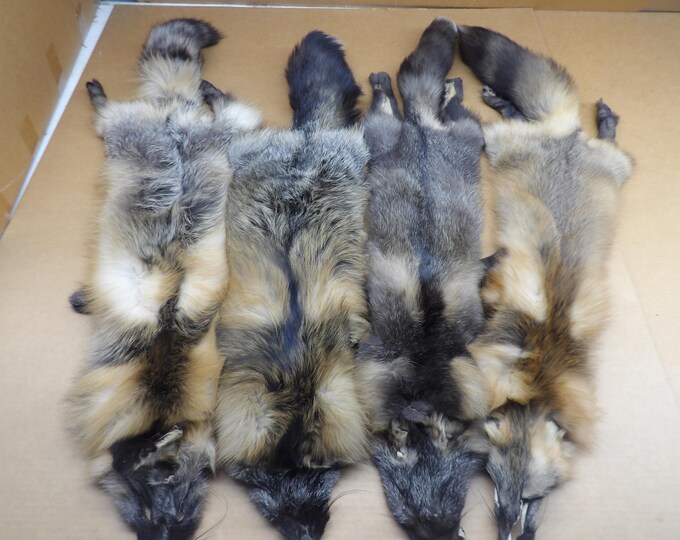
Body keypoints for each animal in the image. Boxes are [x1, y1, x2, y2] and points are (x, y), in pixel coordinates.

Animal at [67, 19, 261, 540]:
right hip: (165, 134)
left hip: (181, 136)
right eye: (147, 509)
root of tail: (175, 111)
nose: (165, 533)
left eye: (174, 502)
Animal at [457, 25, 633, 539]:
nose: (507, 532)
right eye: (498, 487)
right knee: (512, 120)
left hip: (606, 165)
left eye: (530, 496)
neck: (537, 379)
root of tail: (564, 138)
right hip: (497, 145)